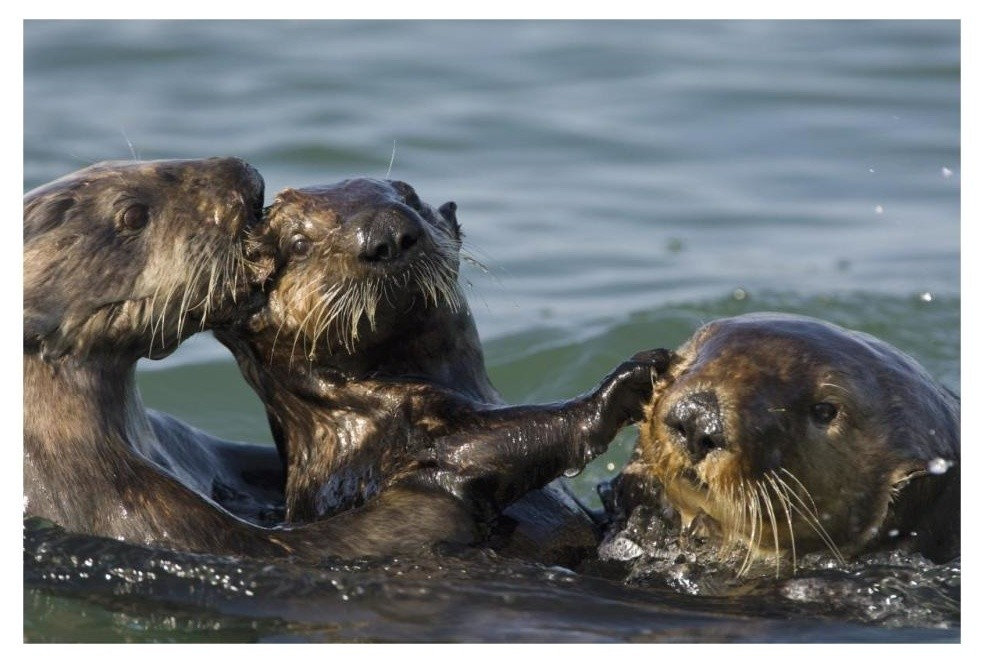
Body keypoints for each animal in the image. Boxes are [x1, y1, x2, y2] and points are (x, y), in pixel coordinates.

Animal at [215, 179, 669, 564]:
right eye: (297, 243)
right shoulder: (399, 437)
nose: (386, 230)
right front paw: (630, 379)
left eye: (409, 197)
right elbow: (496, 441)